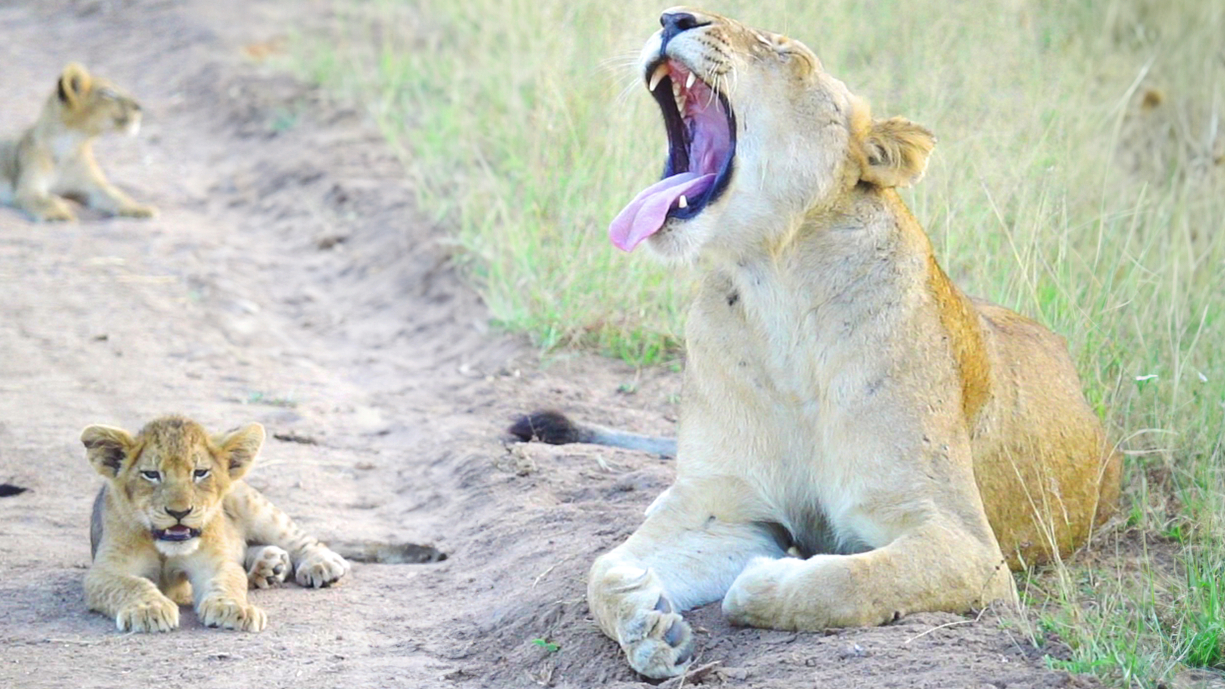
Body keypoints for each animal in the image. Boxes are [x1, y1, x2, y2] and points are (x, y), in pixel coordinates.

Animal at [0, 62, 156, 222]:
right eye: (108, 93)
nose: (139, 107)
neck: (71, 145)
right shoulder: (28, 188)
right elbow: (44, 200)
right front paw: (58, 214)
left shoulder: (92, 187)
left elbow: (116, 195)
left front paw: (139, 209)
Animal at [80, 416, 350, 633]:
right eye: (152, 474)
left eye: (200, 472)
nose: (179, 512)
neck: (166, 549)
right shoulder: (105, 571)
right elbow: (131, 584)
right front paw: (149, 609)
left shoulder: (214, 562)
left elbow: (229, 580)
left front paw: (234, 609)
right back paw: (270, 566)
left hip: (251, 504)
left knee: (295, 537)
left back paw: (319, 565)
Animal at [511, 8, 1121, 678]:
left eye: (788, 55)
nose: (673, 16)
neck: (777, 293)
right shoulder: (725, 510)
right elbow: (601, 571)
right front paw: (650, 626)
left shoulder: (968, 546)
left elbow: (845, 580)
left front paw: (772, 574)